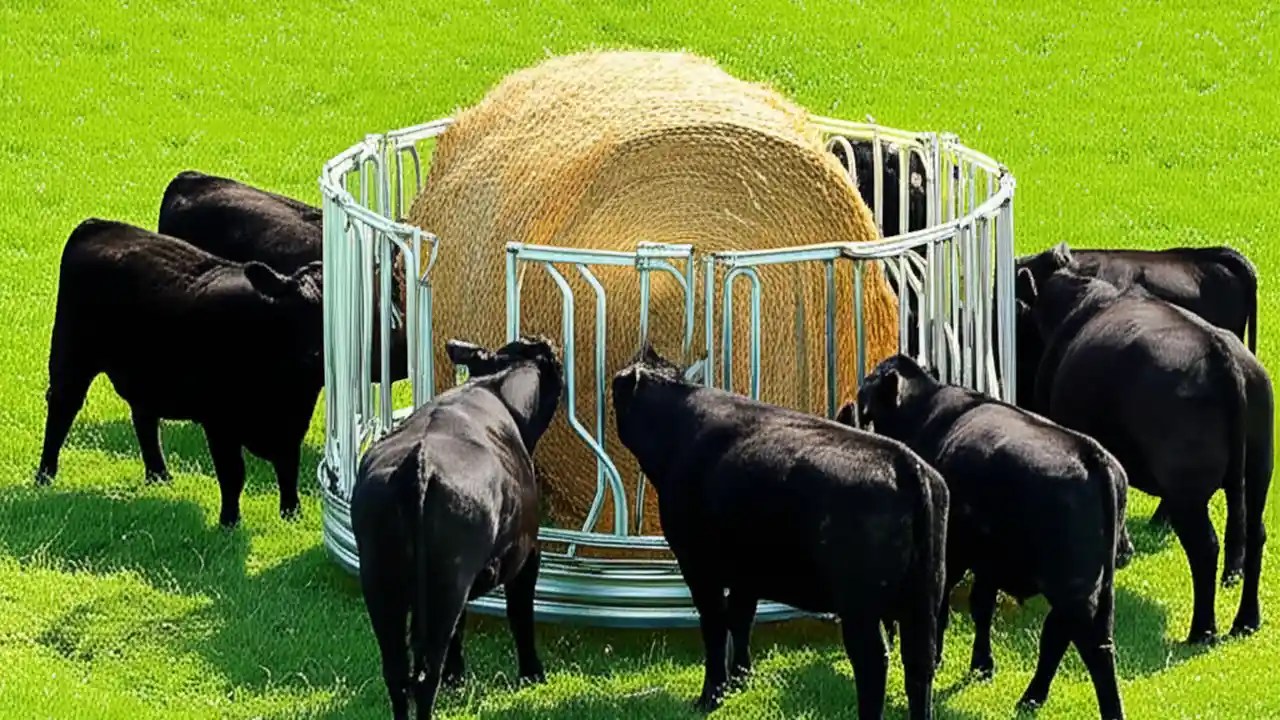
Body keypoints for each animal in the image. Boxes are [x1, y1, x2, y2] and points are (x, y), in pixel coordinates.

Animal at [36, 218, 325, 527]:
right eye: (296, 312)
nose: (315, 356)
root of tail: (97, 224)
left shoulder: (292, 426)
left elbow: (288, 469)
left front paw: (292, 514)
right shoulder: (219, 420)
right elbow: (233, 474)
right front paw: (229, 522)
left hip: (144, 373)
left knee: (144, 418)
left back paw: (159, 475)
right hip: (72, 354)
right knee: (63, 407)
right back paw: (45, 475)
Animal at [350, 336, 562, 720]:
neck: (493, 386)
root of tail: (418, 462)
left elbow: (460, 628)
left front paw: (456, 675)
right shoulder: (528, 551)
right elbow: (520, 612)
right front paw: (532, 673)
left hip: (380, 583)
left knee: (397, 672)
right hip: (447, 582)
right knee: (424, 675)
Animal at [611, 344, 948, 720]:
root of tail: (908, 464)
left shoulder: (698, 564)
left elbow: (715, 625)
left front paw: (711, 696)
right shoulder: (746, 571)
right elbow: (741, 619)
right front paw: (740, 680)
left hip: (860, 605)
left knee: (874, 660)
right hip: (925, 597)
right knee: (919, 664)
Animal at [840, 354, 1129, 720]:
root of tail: (1093, 454)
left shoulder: (951, 556)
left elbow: (943, 611)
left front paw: (943, 658)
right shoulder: (988, 561)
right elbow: (982, 607)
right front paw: (982, 664)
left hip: (1072, 586)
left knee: (1088, 646)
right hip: (1089, 587)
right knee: (1064, 635)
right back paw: (1033, 696)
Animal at [1020, 263, 1272, 643]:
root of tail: (1220, 353)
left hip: (1187, 492)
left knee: (1205, 548)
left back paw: (1202, 630)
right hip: (1257, 473)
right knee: (1255, 535)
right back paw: (1246, 621)